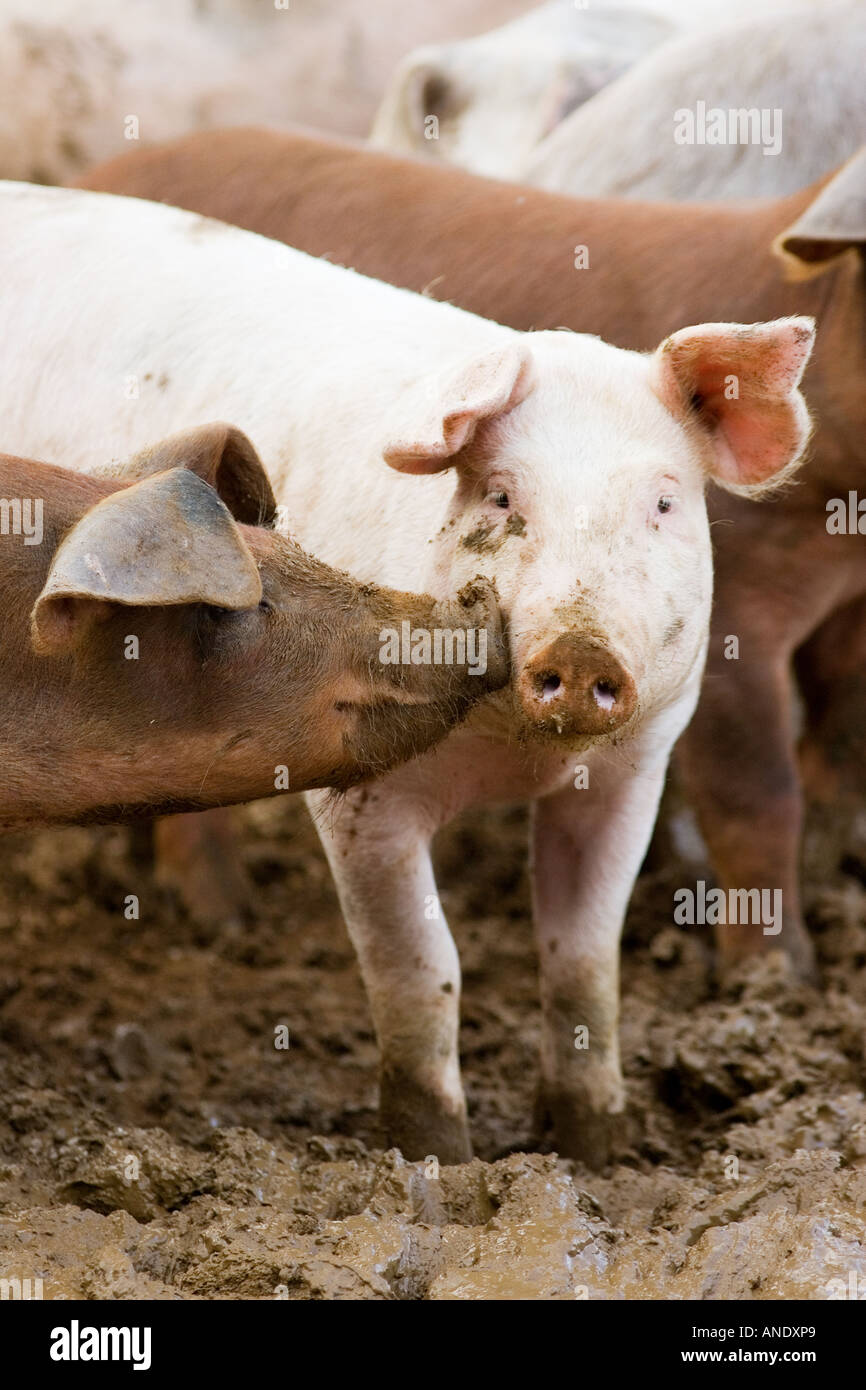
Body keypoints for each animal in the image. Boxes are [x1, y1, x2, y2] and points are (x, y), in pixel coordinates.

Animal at [77, 128, 866, 983]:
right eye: (500, 498)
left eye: (665, 505)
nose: (583, 652)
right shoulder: (742, 616)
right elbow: (756, 790)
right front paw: (780, 976)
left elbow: (840, 730)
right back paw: (223, 918)